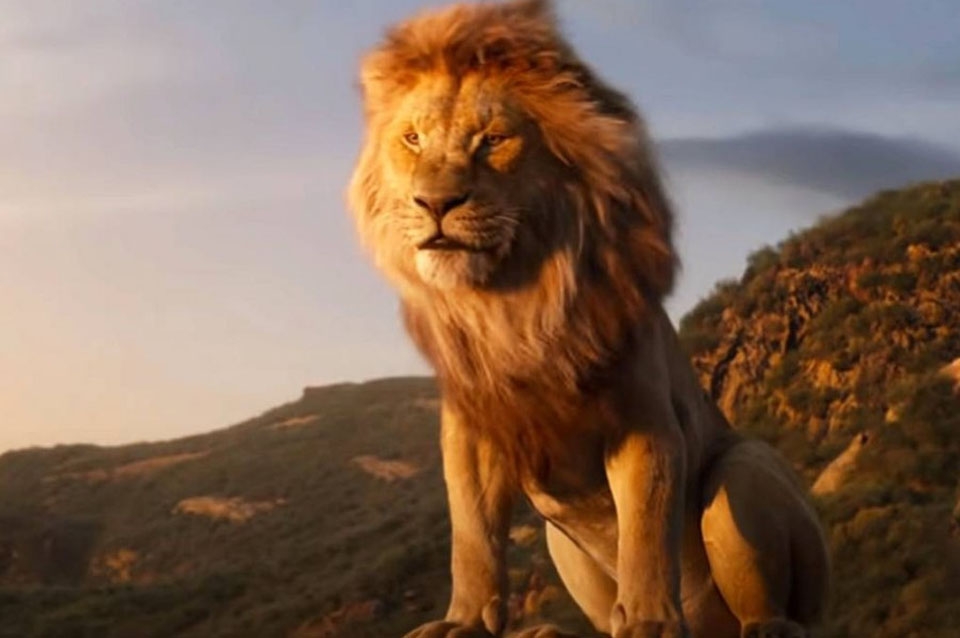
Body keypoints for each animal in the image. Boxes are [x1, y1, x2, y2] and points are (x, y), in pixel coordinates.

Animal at [347, 1, 830, 637]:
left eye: (493, 140)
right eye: (412, 139)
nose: (434, 204)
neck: (512, 302)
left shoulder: (643, 418)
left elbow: (646, 531)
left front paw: (650, 621)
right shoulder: (472, 431)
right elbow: (473, 537)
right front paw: (463, 621)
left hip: (744, 470)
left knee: (775, 607)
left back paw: (762, 625)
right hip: (562, 545)